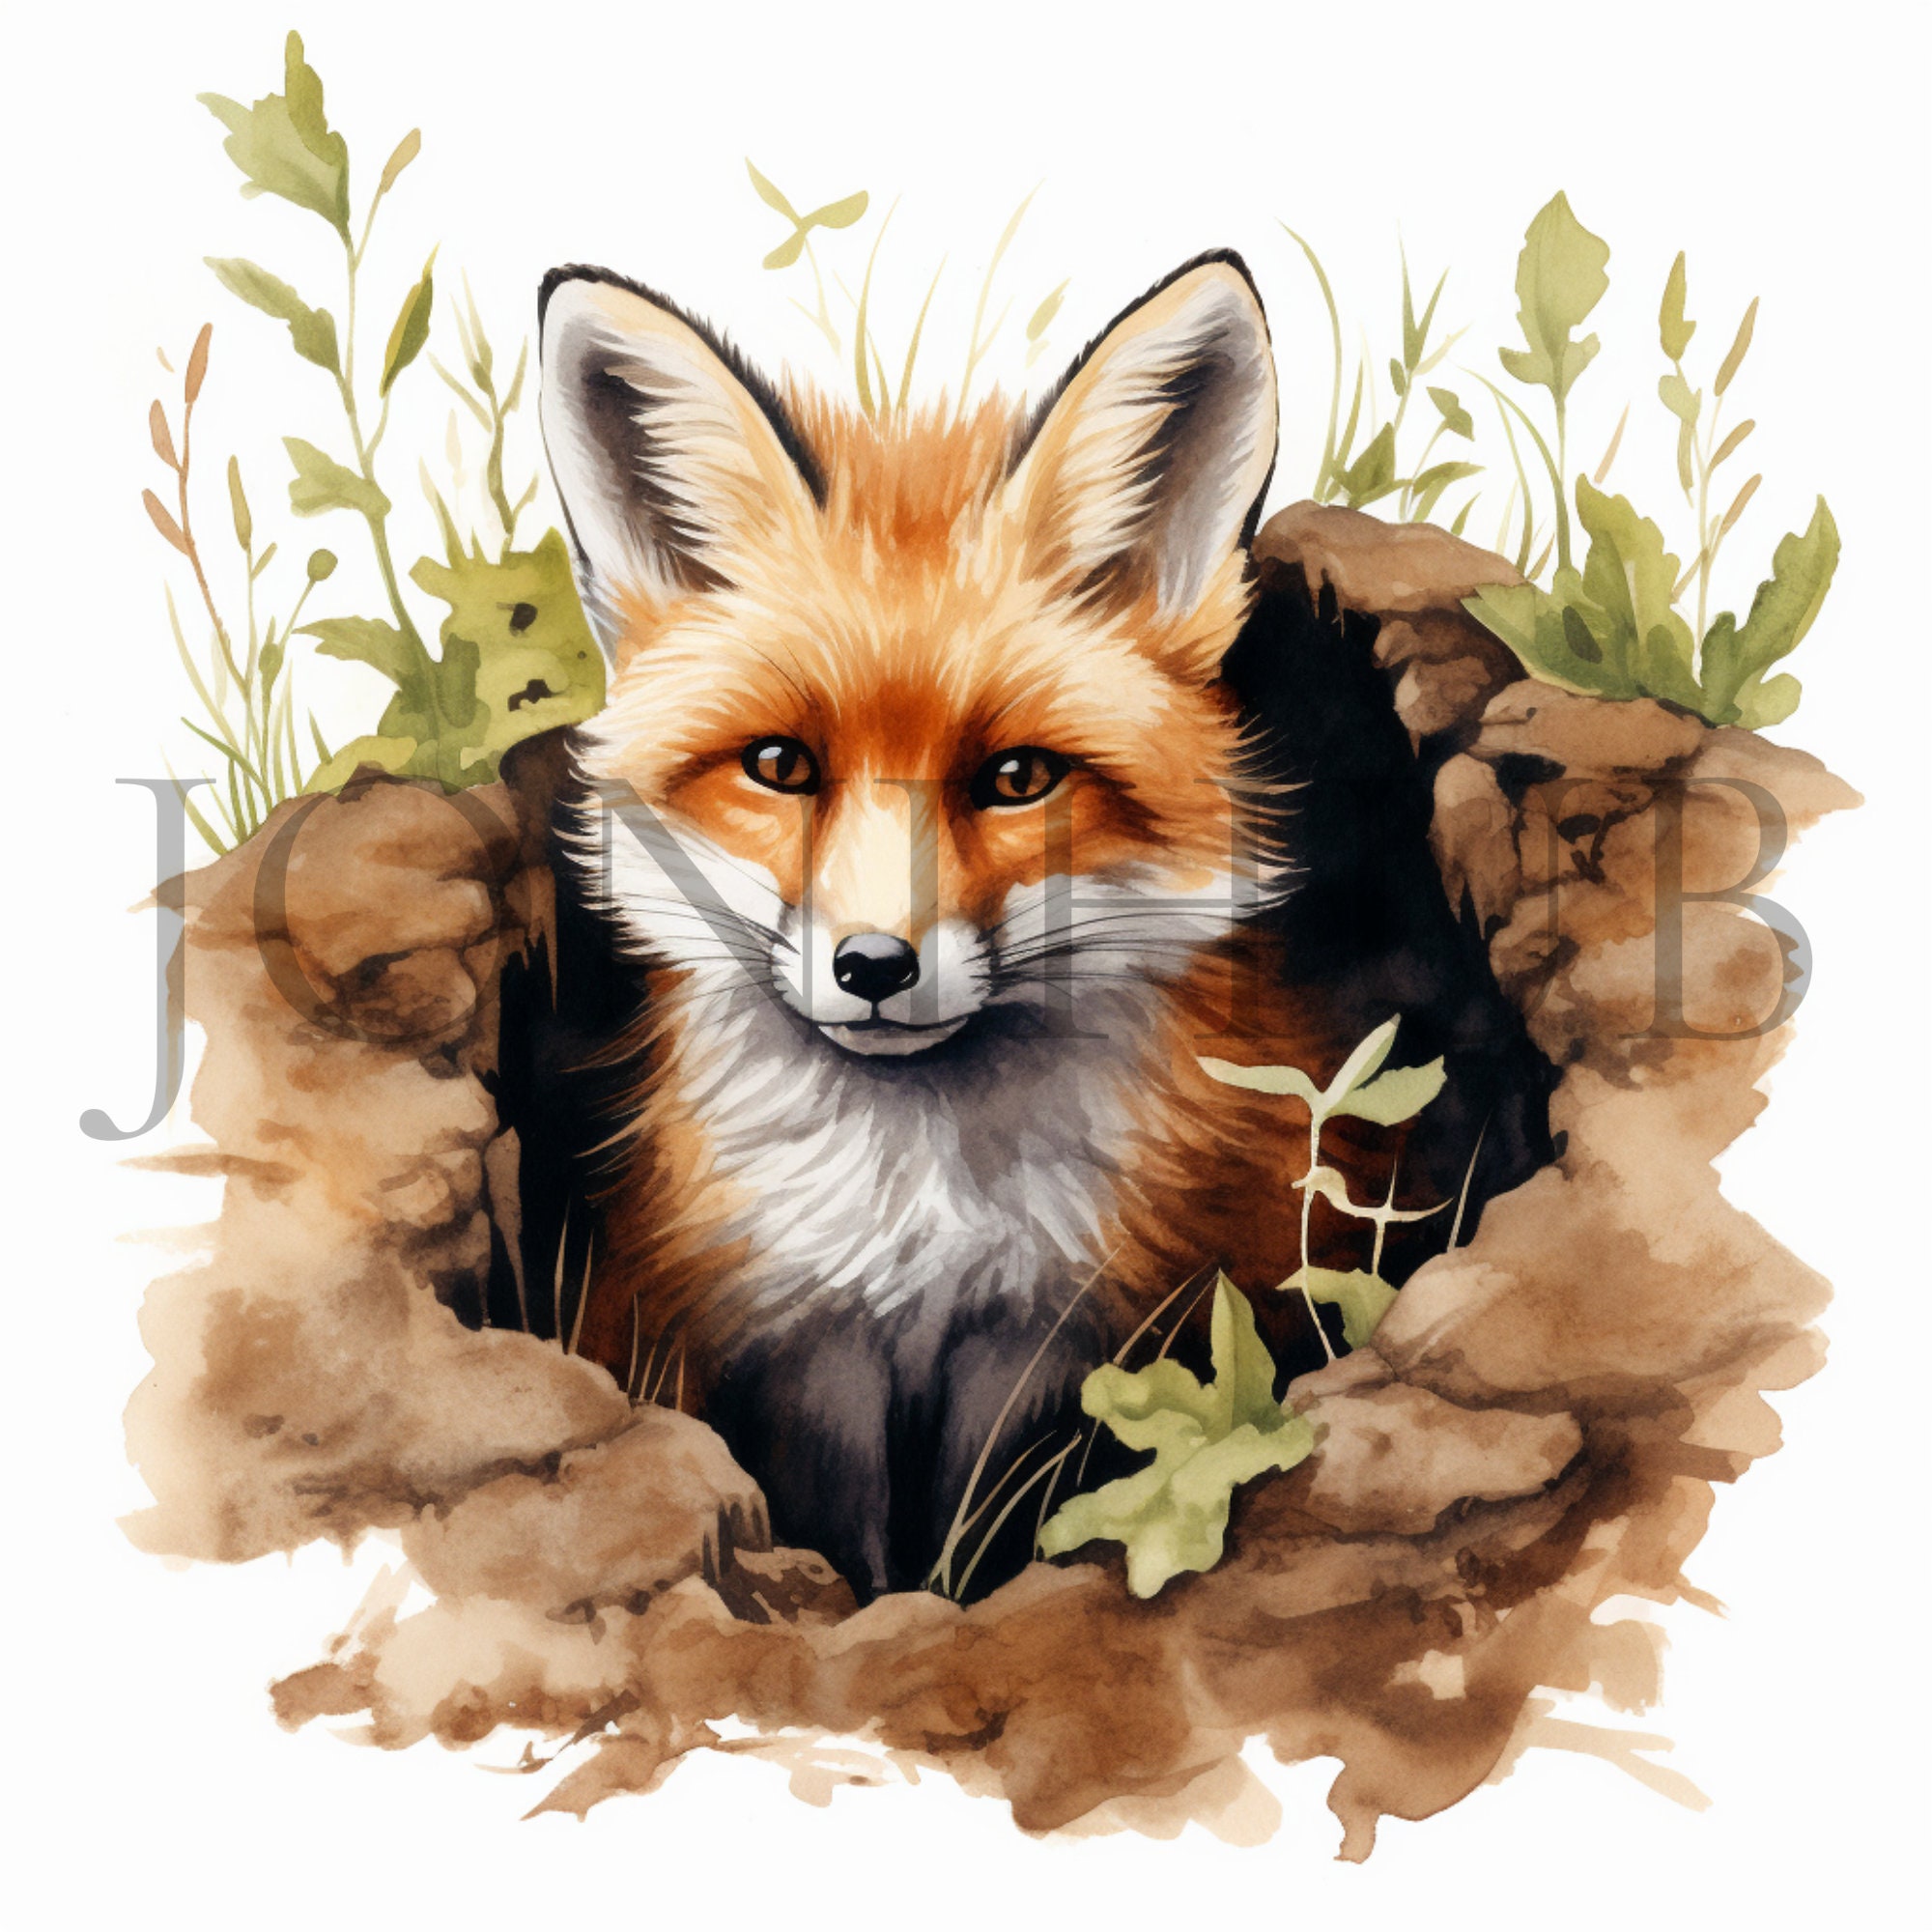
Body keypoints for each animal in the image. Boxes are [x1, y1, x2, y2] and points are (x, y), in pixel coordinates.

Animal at [524, 251, 1511, 1598]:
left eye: (1014, 778)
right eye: (780, 765)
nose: (871, 965)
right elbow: (848, 1536)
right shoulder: (798, 1332)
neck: (915, 1221)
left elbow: (988, 1535)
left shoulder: (1058, 1336)